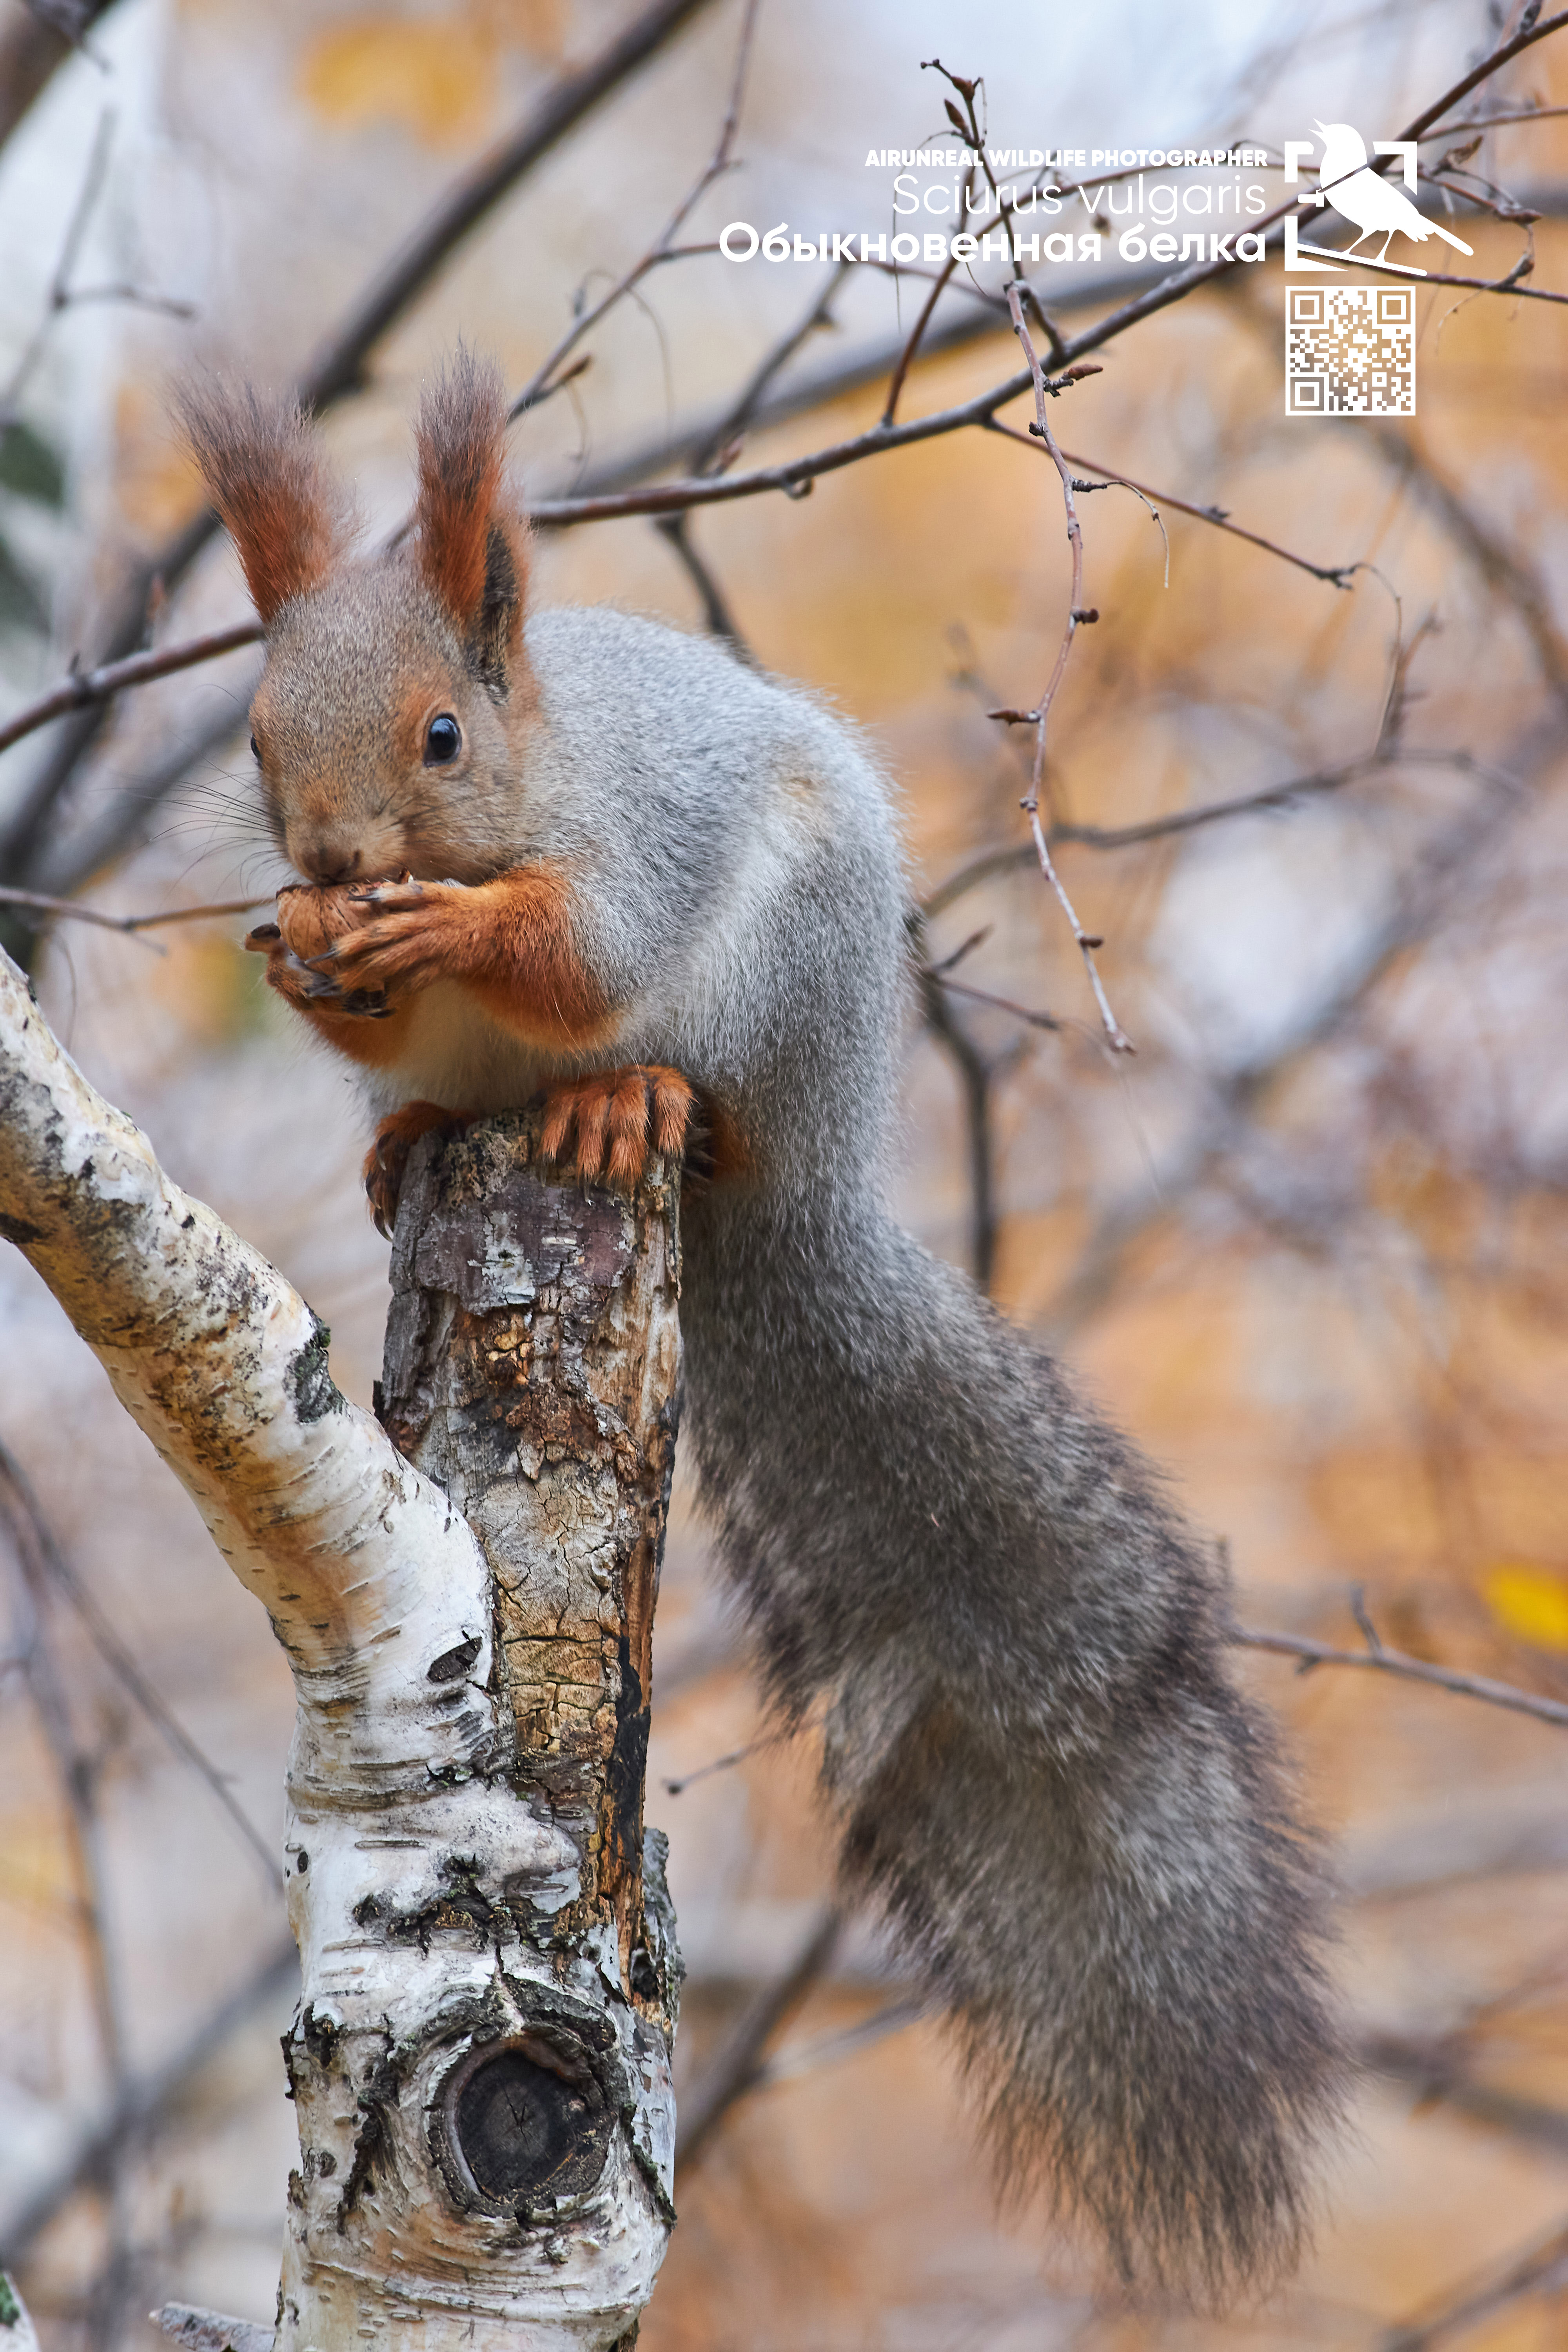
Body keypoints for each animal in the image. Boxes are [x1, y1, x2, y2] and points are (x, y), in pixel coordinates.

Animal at [177, 348, 1345, 2296]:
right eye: (258, 741)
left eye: (443, 738)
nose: (332, 854)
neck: (544, 759)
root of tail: (813, 1172)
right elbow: (352, 1003)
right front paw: (307, 938)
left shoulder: (634, 847)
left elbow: (566, 951)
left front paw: (442, 927)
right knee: (441, 1102)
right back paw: (413, 1136)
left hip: (767, 994)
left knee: (661, 1073)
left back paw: (617, 1102)